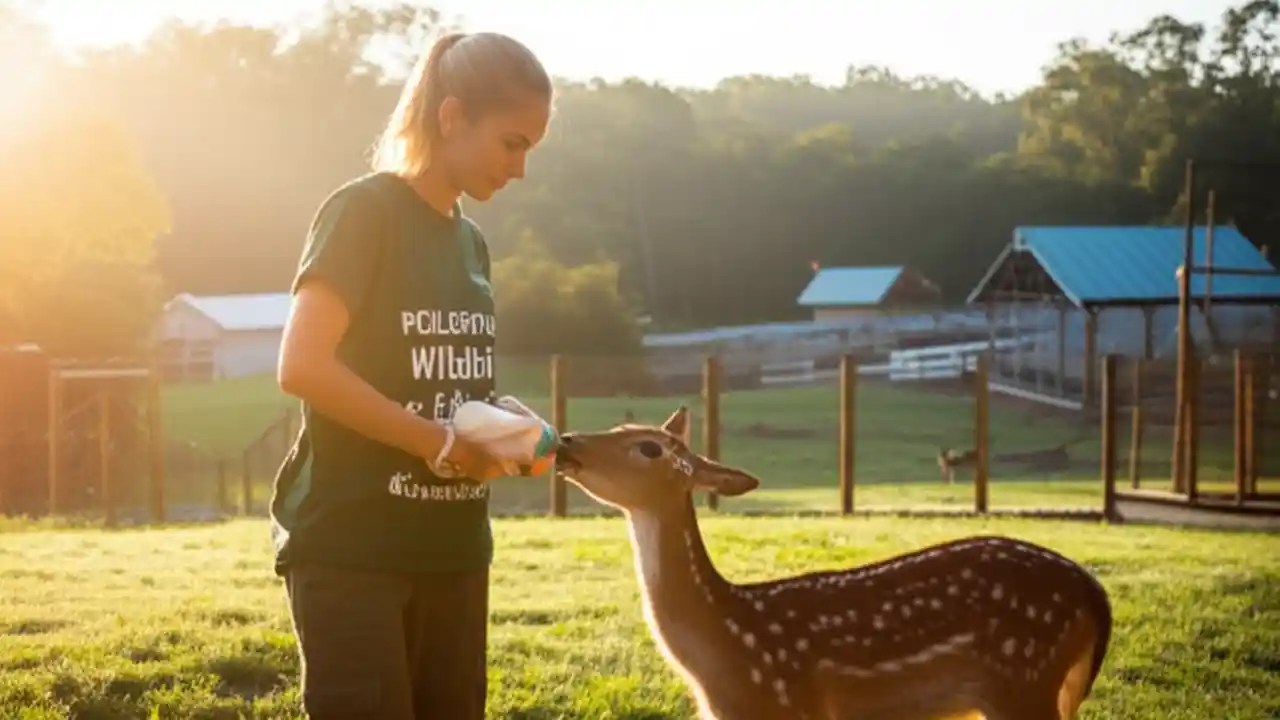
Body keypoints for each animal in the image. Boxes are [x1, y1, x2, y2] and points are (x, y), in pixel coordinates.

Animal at [554, 406, 1112, 720]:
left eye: (648, 447)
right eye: (619, 424)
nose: (567, 441)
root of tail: (1093, 591)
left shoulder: (787, 704)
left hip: (1022, 675)